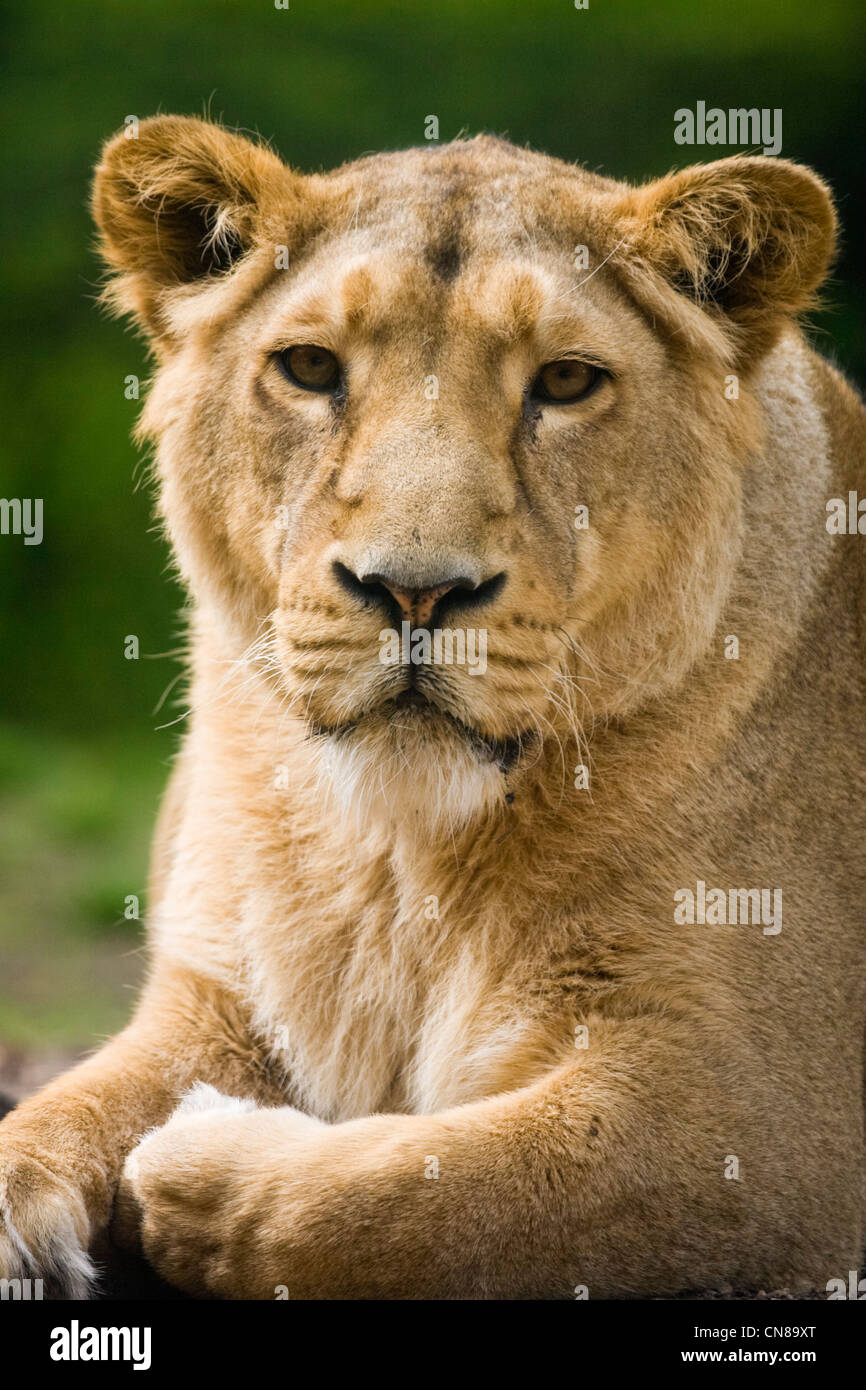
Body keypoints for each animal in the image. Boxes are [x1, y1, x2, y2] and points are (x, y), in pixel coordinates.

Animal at [0, 116, 863, 1300]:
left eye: (566, 380)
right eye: (310, 367)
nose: (413, 591)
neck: (396, 854)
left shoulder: (760, 1113)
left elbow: (429, 1199)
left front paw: (204, 1160)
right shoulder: (213, 993)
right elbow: (52, 1115)